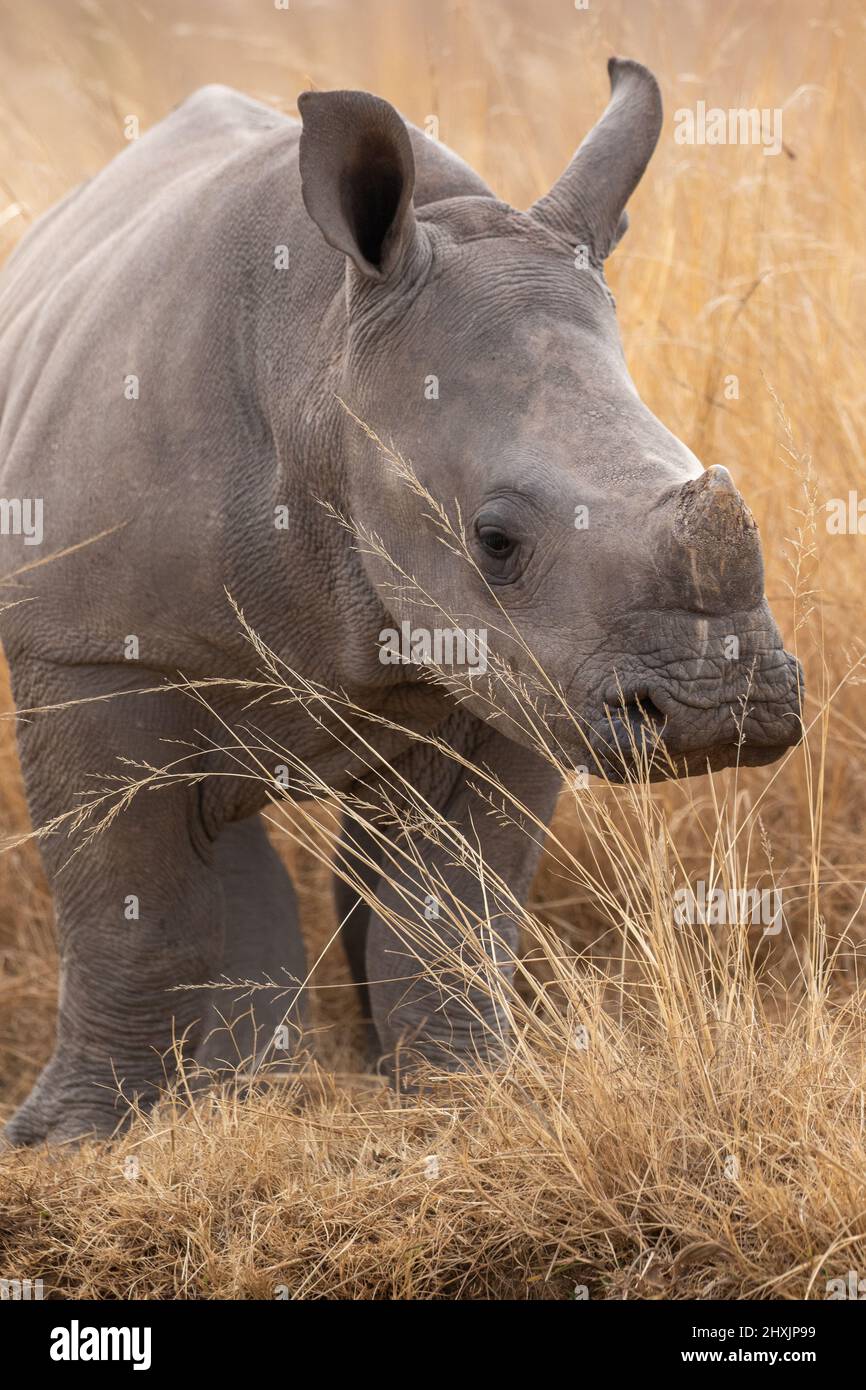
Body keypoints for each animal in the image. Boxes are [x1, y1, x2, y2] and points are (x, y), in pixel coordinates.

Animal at [0, 58, 802, 1144]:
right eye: (495, 539)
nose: (722, 714)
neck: (322, 353)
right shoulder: (86, 645)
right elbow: (131, 914)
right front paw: (76, 1139)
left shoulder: (518, 671)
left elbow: (450, 912)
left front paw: (471, 1098)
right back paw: (232, 1092)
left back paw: (247, 1087)